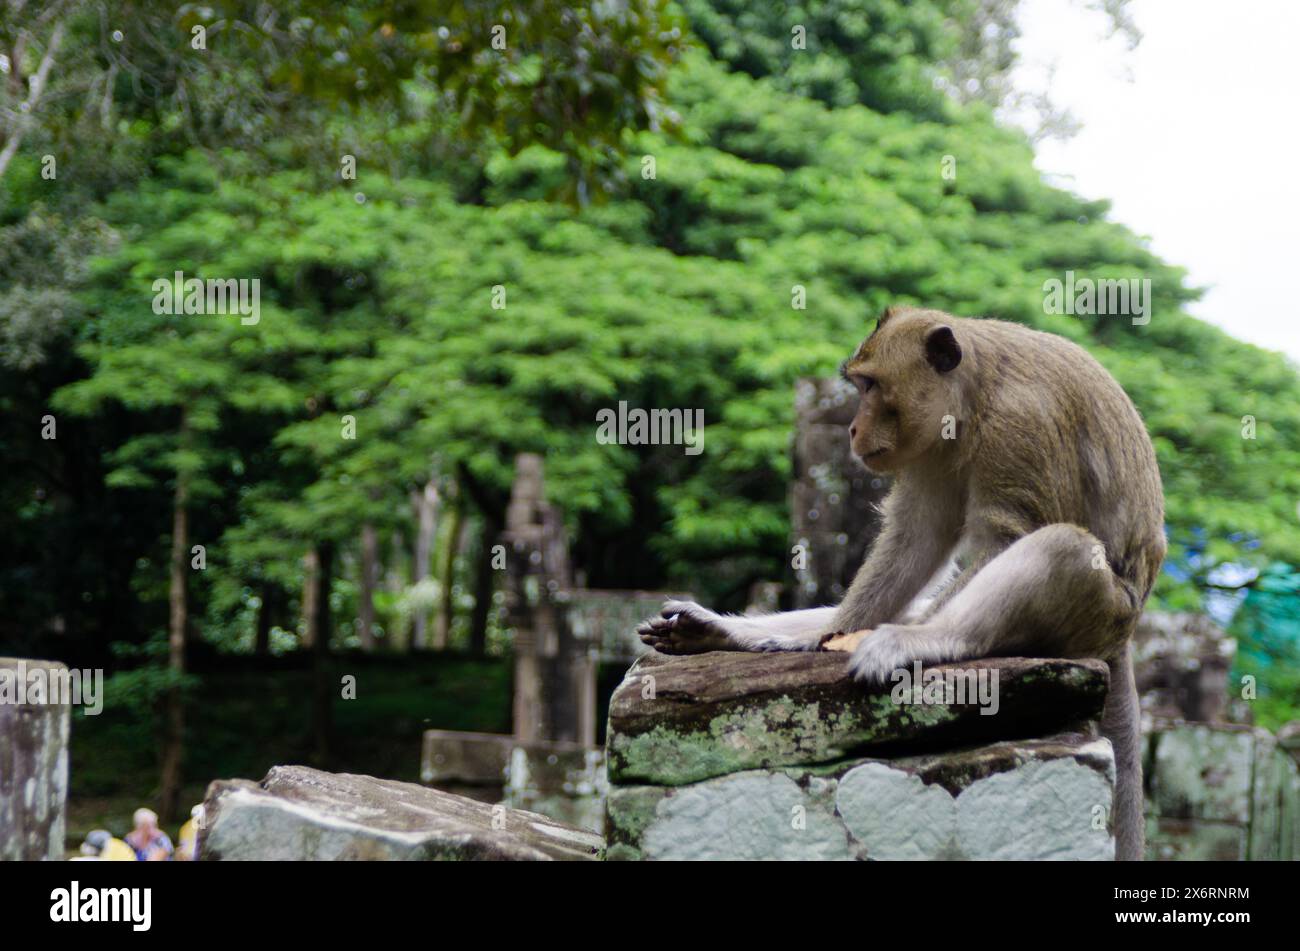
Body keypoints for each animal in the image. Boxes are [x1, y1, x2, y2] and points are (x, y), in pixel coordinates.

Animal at [637, 306, 1165, 861]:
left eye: (870, 385)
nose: (851, 428)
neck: (975, 395)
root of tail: (1126, 634)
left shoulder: (1022, 425)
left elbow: (1009, 537)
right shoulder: (930, 447)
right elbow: (917, 539)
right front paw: (825, 639)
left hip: (1101, 613)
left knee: (1061, 547)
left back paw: (920, 639)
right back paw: (745, 633)